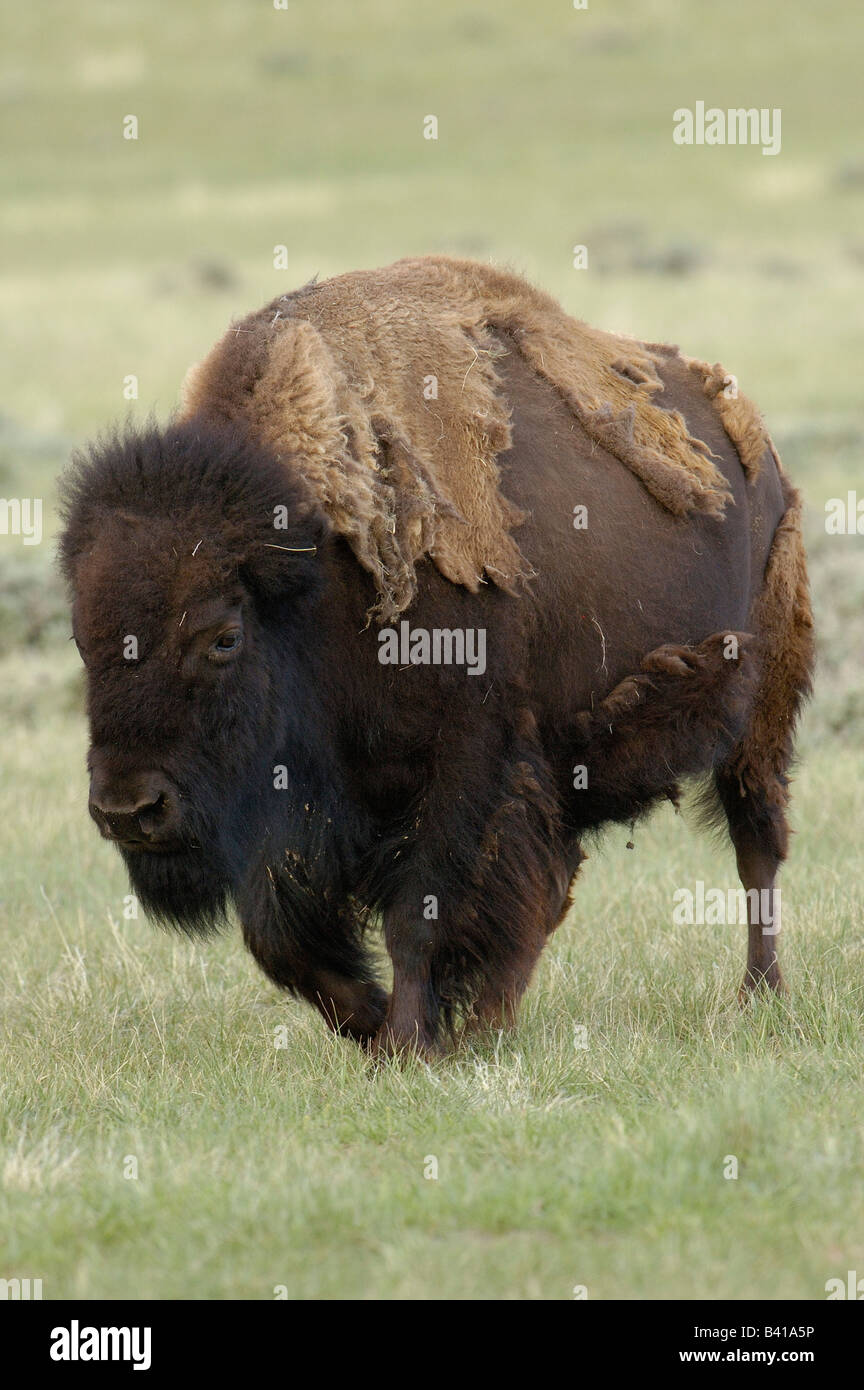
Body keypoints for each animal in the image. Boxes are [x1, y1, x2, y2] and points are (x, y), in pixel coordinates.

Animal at [59, 256, 814, 1053]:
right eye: (82, 637)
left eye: (223, 637)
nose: (128, 809)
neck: (322, 572)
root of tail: (760, 458)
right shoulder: (297, 807)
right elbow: (280, 937)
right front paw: (374, 1025)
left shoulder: (464, 764)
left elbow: (418, 917)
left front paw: (405, 1046)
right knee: (554, 885)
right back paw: (489, 1028)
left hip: (759, 712)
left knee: (755, 847)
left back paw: (759, 997)